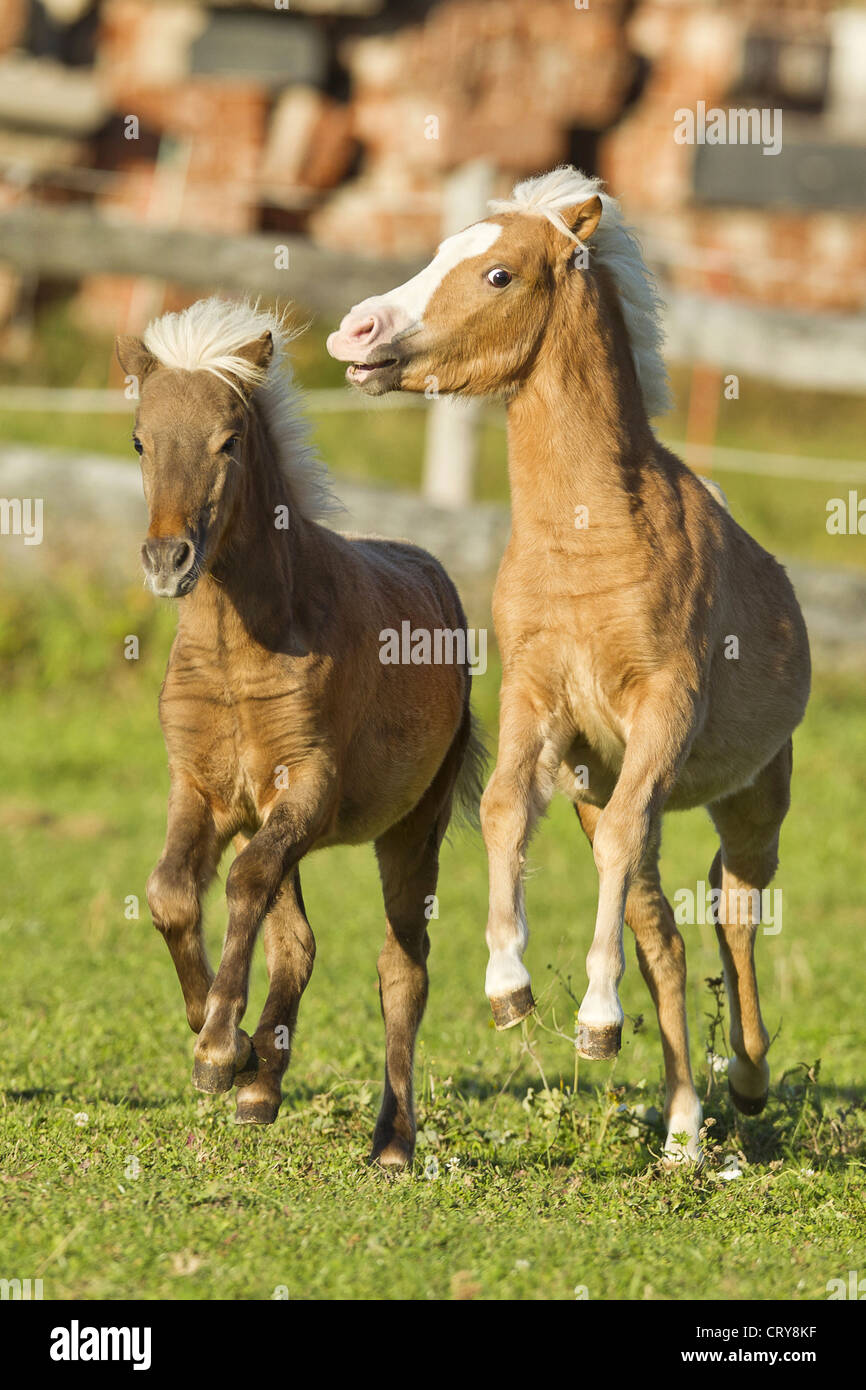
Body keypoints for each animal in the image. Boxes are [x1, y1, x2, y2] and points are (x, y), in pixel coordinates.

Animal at [115, 297, 484, 1167]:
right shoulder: (207, 791)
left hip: (410, 830)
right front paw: (226, 1043)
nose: (168, 558)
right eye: (140, 439)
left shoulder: (307, 788)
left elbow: (244, 884)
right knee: (297, 941)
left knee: (402, 969)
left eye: (229, 440)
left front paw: (221, 1049)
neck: (240, 646)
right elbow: (173, 893)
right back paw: (261, 1089)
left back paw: (392, 1142)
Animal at [327, 166, 811, 1162]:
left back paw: (746, 1080)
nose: (356, 332)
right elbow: (507, 807)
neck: (592, 535)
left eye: (499, 273)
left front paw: (593, 1017)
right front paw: (510, 989)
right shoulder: (539, 705)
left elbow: (634, 851)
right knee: (661, 922)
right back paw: (683, 1126)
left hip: (755, 789)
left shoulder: (665, 708)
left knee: (736, 898)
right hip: (606, 780)